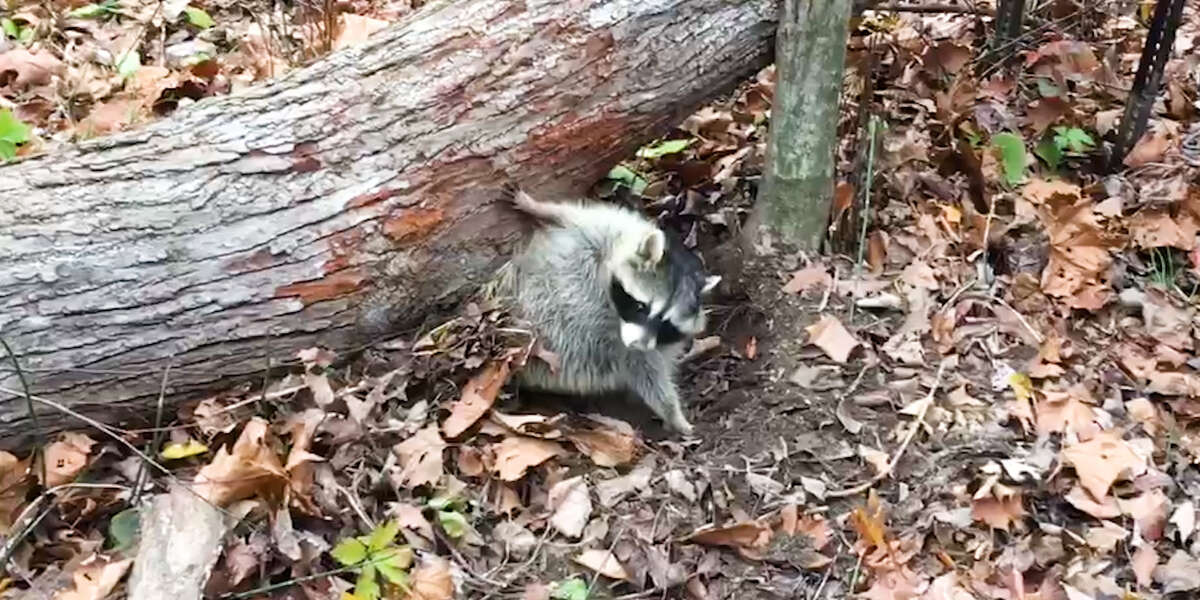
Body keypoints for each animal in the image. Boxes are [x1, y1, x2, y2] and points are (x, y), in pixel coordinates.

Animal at [499, 188, 720, 435]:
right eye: (641, 307)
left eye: (666, 325)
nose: (638, 344)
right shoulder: (607, 229)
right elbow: (568, 215)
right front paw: (536, 206)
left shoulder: (641, 346)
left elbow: (647, 370)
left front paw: (672, 412)